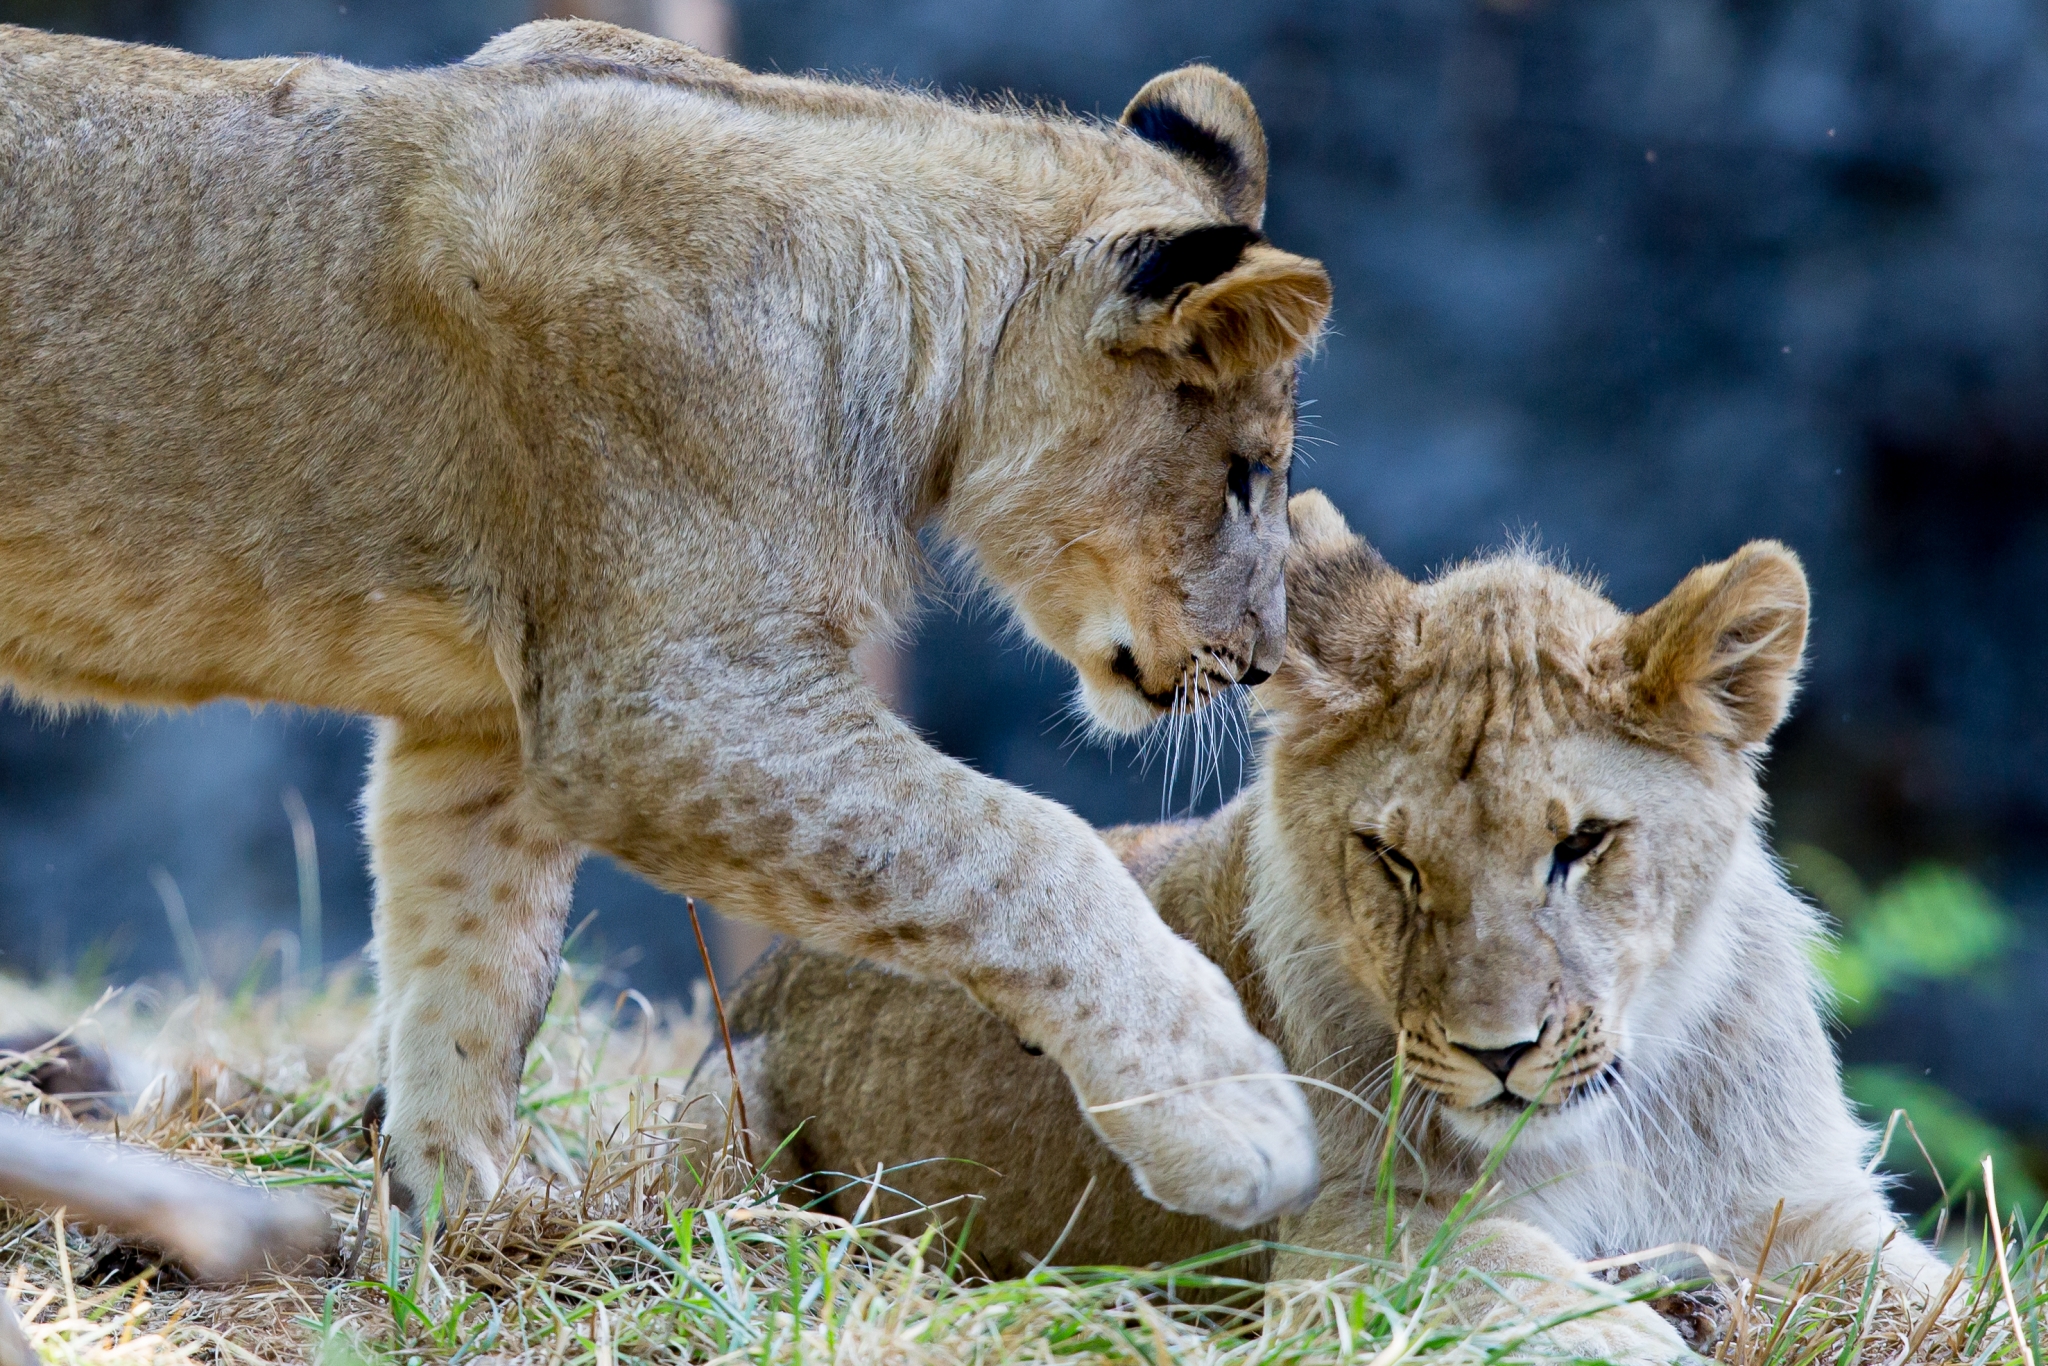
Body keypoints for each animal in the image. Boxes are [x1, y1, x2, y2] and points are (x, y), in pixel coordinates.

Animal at [0, 21, 1331, 1222]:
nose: (1259, 658)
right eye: (1244, 475)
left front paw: (467, 1223)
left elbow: (477, 966)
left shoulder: (497, 722)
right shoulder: (667, 702)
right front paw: (1234, 1118)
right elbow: (1021, 847)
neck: (917, 345)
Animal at [686, 492, 1948, 1362]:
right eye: (1392, 858)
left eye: (1582, 842)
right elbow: (1546, 1305)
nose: (1499, 1054)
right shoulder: (1348, 1242)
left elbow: (1947, 1303)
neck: (1619, 1115)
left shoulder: (1810, 1208)